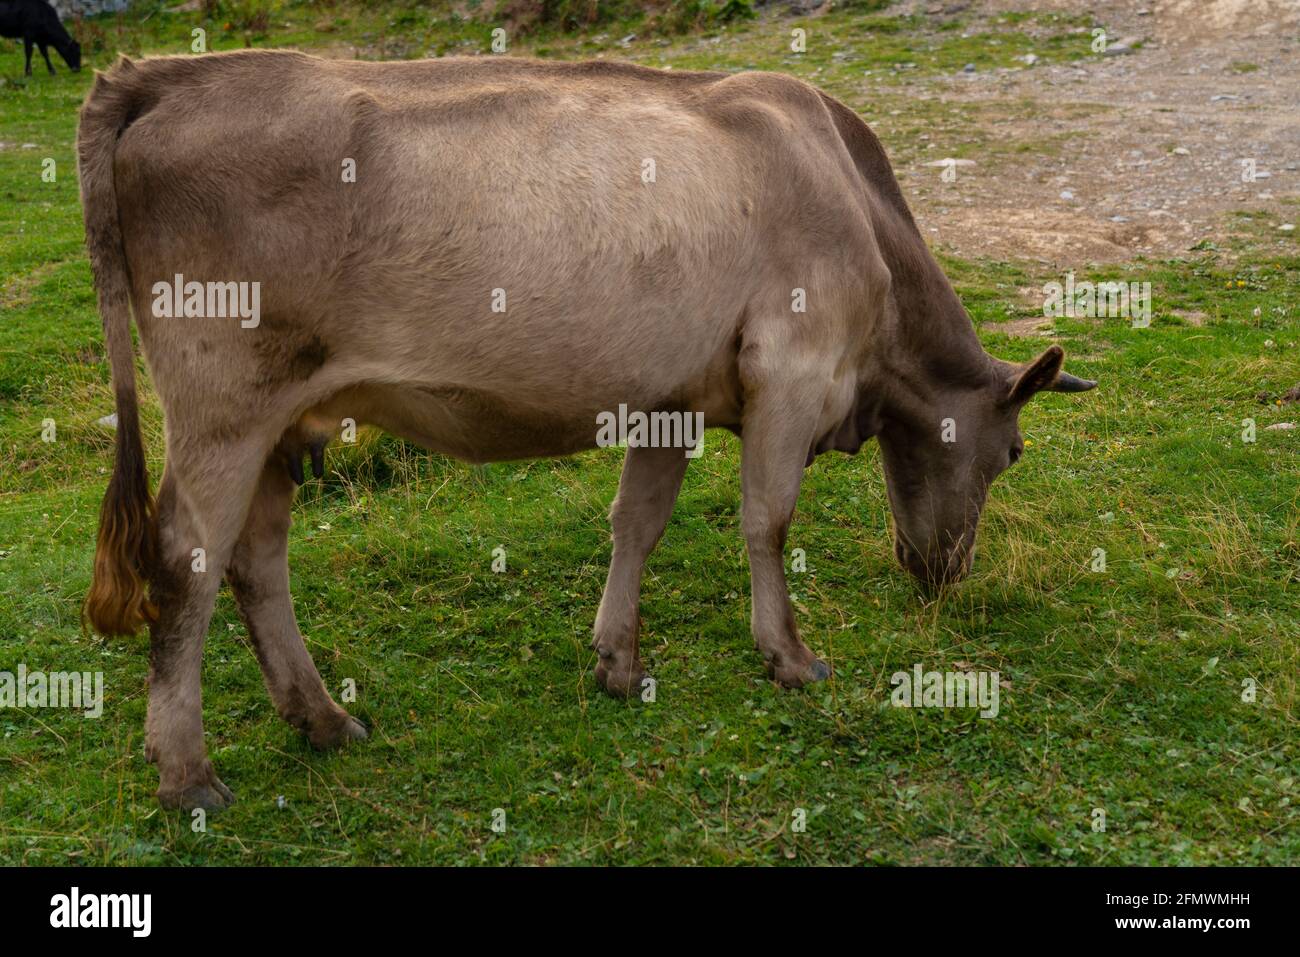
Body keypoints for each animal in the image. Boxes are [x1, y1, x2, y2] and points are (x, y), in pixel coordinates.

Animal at [77, 50, 1096, 810]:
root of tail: (164, 76)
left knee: (255, 558)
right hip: (223, 403)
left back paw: (323, 719)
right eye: (1012, 452)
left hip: (278, 418)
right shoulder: (791, 369)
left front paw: (618, 659)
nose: (945, 571)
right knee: (186, 559)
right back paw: (187, 772)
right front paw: (789, 656)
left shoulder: (671, 397)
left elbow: (636, 523)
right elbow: (767, 521)